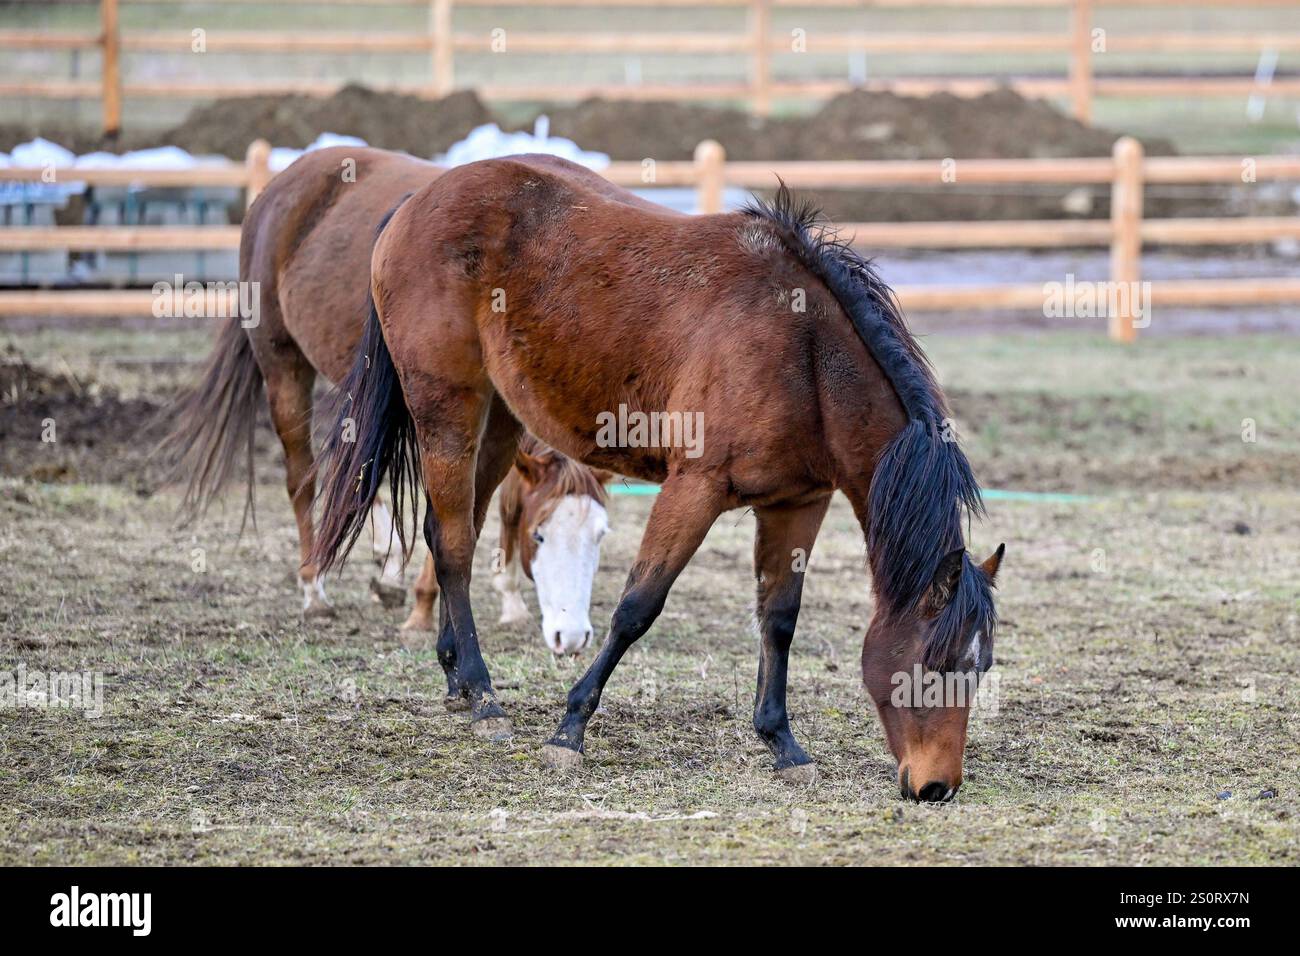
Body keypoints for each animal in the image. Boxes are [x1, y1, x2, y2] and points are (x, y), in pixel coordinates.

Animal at [158, 146, 610, 655]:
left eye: (598, 537)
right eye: (542, 535)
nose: (572, 638)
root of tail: (281, 184)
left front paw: (508, 596)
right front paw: (425, 604)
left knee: (358, 471)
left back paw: (382, 568)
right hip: (285, 367)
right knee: (303, 477)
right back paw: (314, 587)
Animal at [309, 153, 1004, 799]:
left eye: (981, 667)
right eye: (935, 662)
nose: (937, 786)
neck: (802, 352)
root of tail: (415, 201)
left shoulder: (797, 504)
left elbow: (779, 619)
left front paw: (782, 742)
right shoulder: (693, 490)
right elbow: (637, 607)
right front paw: (570, 730)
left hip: (501, 419)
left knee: (451, 529)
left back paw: (456, 678)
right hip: (447, 409)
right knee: (453, 544)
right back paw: (483, 698)